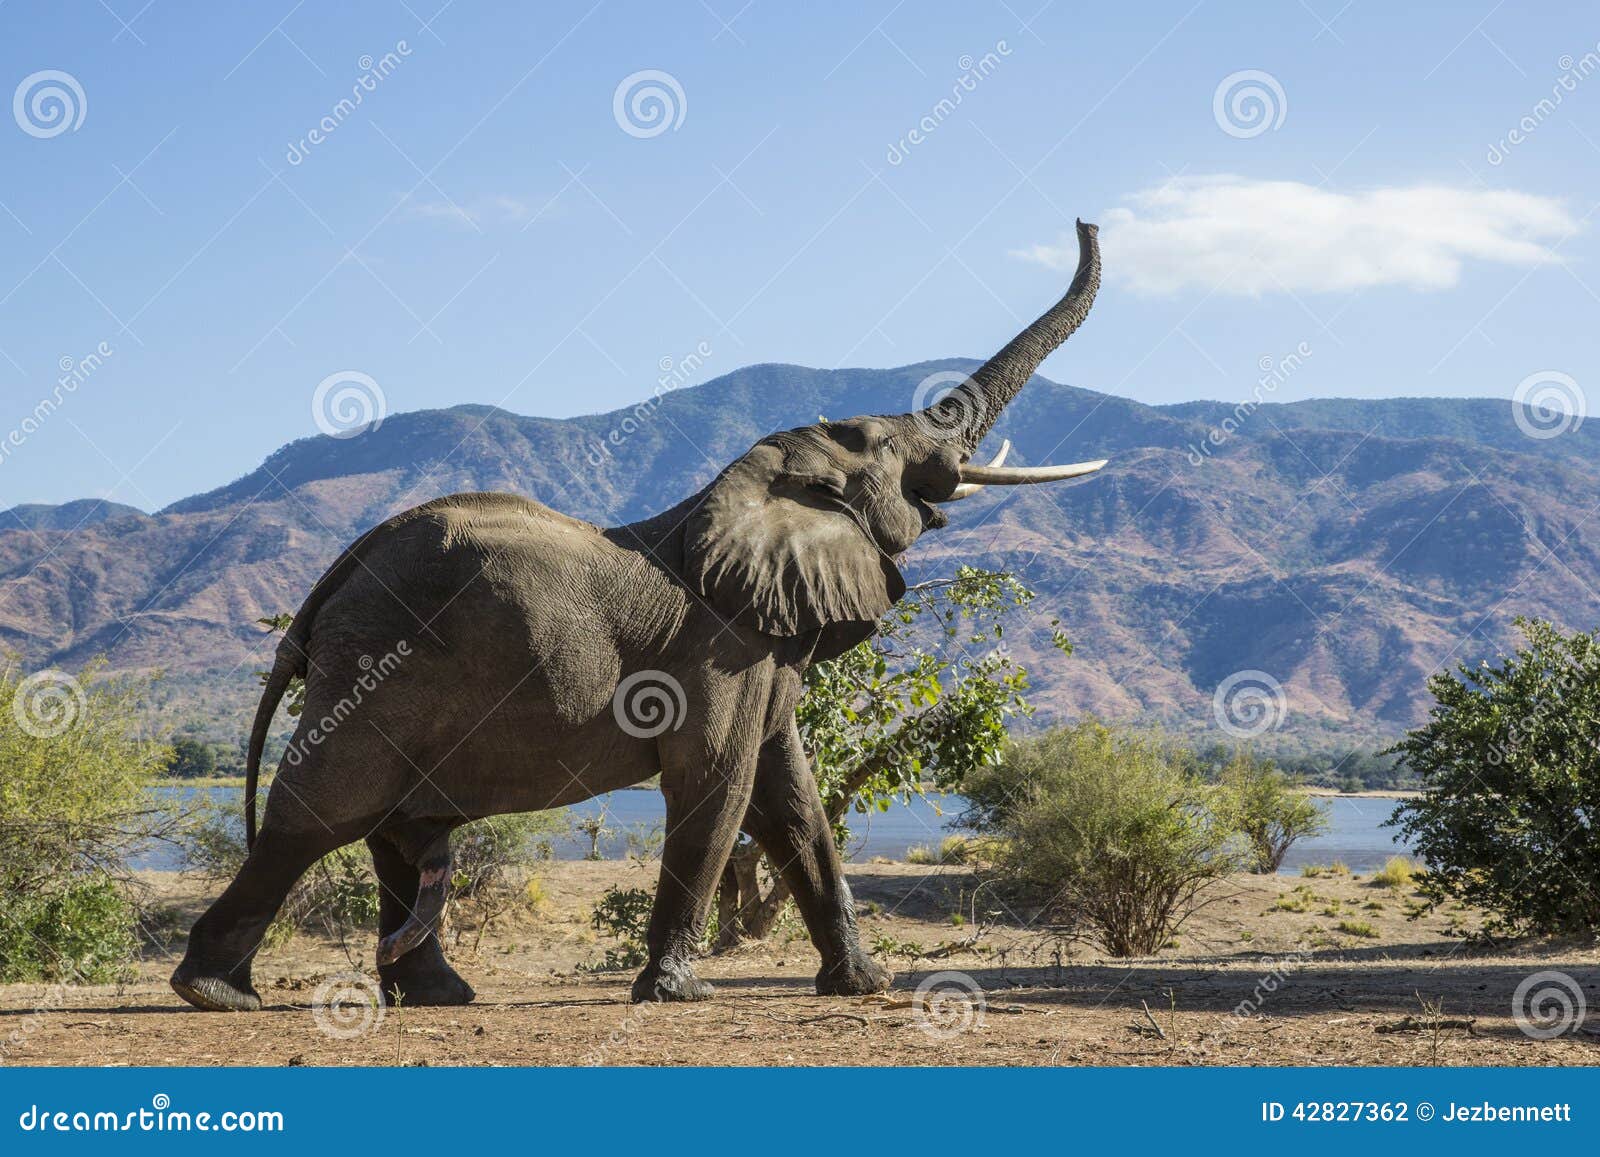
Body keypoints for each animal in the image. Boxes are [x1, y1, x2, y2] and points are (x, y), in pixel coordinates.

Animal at [170, 219, 1104, 1013]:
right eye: (884, 445)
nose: (1088, 221)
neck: (748, 485)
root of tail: (333, 579)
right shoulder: (719, 653)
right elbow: (717, 785)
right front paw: (679, 992)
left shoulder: (762, 649)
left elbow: (793, 802)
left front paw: (862, 985)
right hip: (377, 662)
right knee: (322, 812)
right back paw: (216, 994)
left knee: (394, 831)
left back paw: (438, 995)